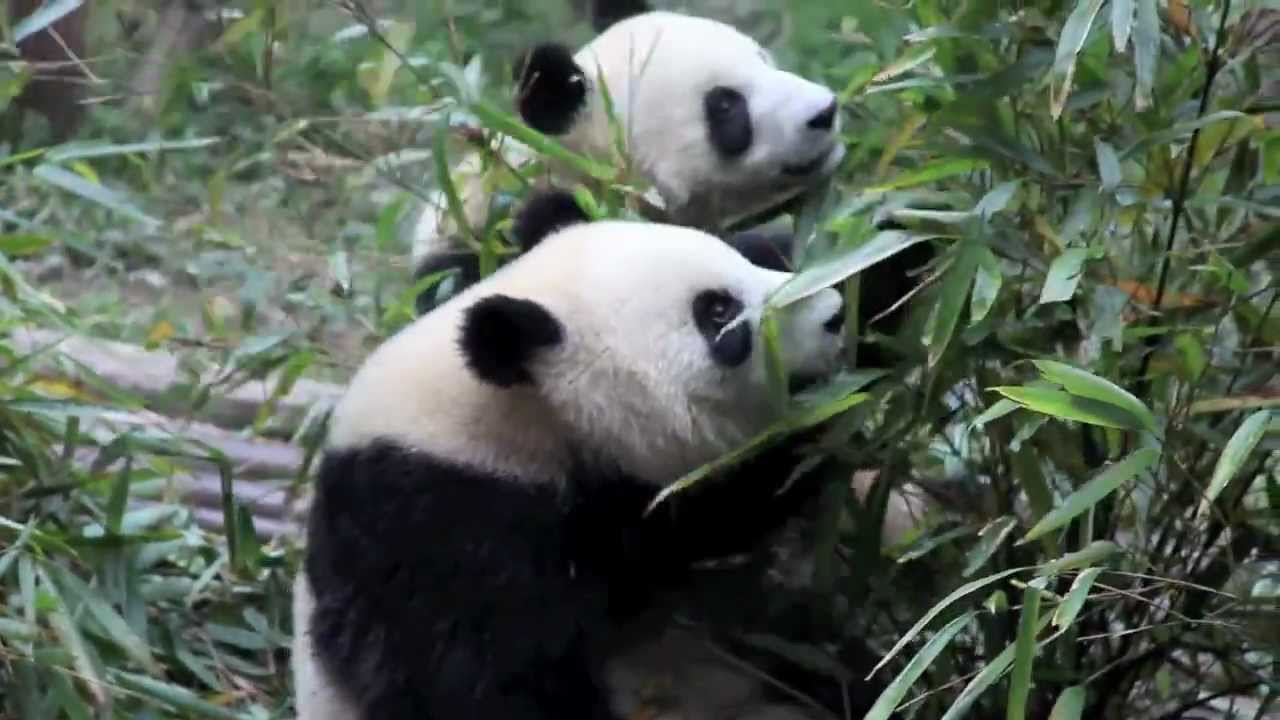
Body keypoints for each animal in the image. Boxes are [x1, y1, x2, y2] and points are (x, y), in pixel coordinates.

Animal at [292, 189, 860, 720]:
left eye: (742, 258)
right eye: (717, 311)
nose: (834, 312)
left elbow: (705, 519)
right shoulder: (443, 535)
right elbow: (485, 683)